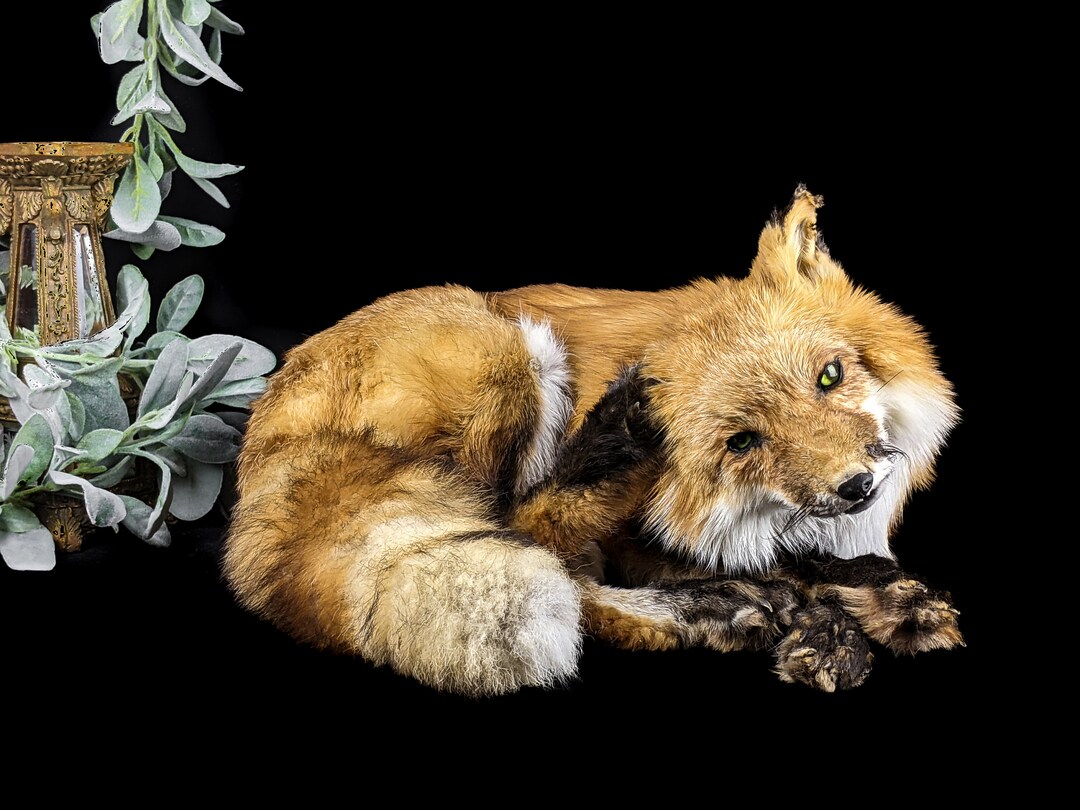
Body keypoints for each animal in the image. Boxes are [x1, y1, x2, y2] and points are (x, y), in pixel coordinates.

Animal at [221, 185, 963, 696]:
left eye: (829, 376)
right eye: (743, 441)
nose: (856, 486)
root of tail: (269, 410)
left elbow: (820, 566)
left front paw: (867, 604)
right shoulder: (642, 536)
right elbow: (769, 570)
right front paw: (826, 614)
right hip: (510, 360)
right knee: (535, 532)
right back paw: (696, 601)